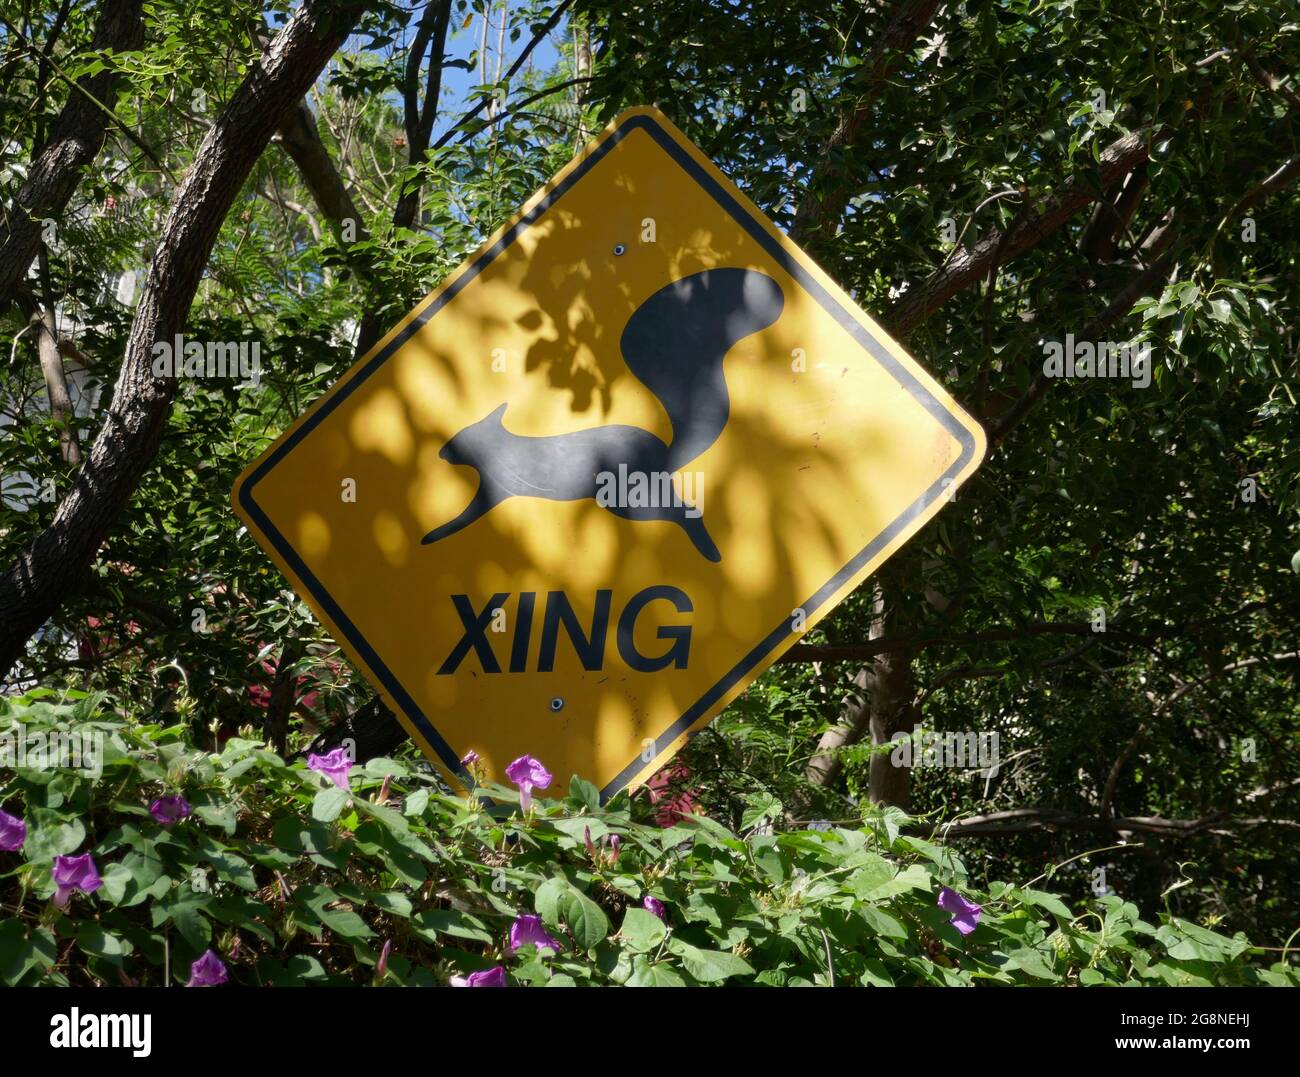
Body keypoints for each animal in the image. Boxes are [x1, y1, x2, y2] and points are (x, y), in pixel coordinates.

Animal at [421, 267, 785, 561]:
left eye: (456, 439)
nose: (440, 453)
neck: (495, 448)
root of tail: (664, 453)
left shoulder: (494, 490)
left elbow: (464, 517)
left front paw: (433, 535)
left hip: (631, 500)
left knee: (686, 512)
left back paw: (709, 553)